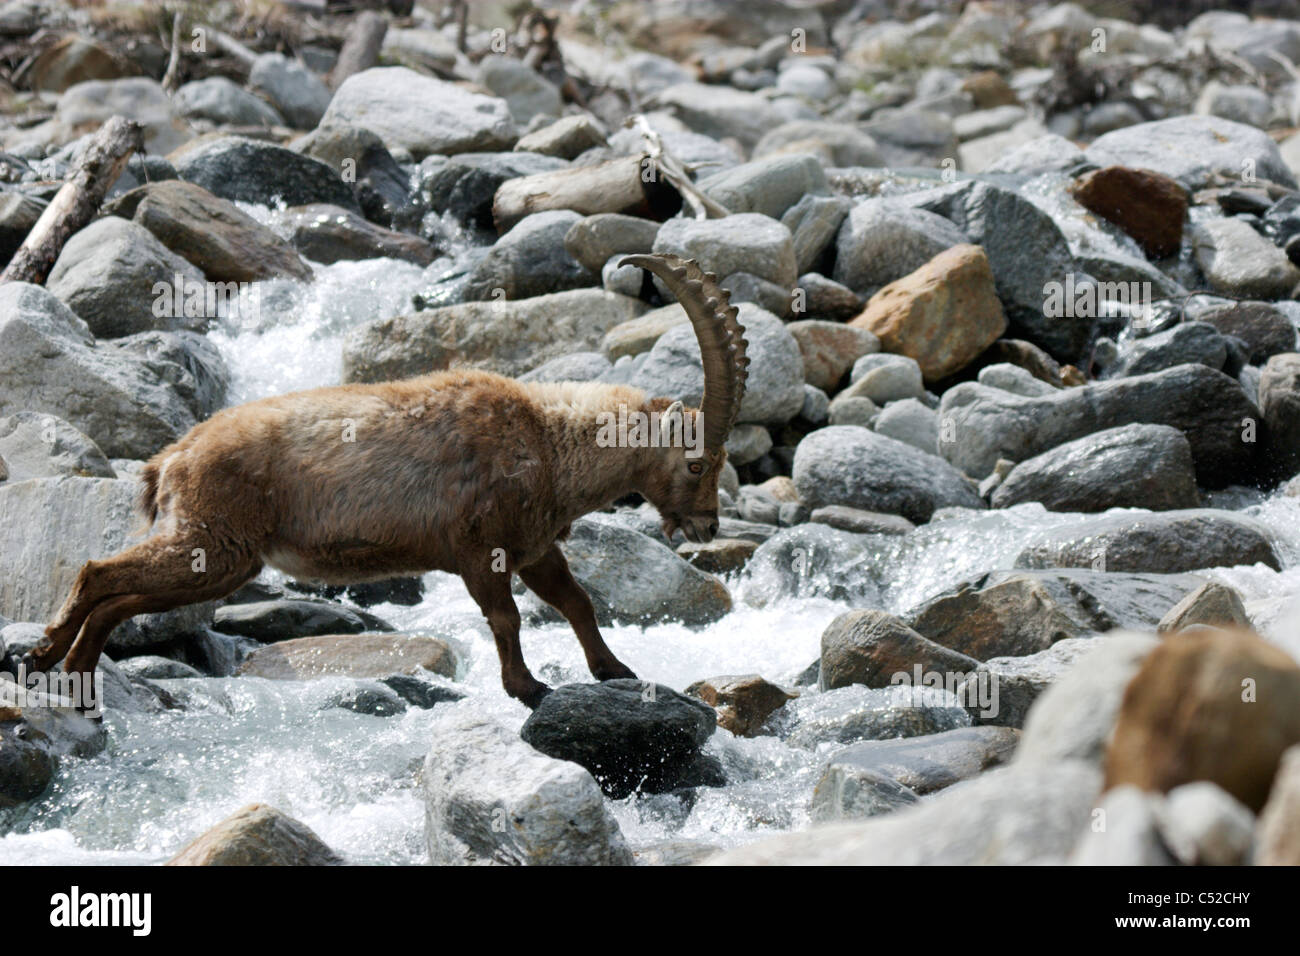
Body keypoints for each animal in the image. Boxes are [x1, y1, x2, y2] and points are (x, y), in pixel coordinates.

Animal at [27, 255, 750, 708]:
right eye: (695, 462)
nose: (706, 526)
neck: (546, 440)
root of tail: (171, 458)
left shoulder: (535, 546)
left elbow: (576, 602)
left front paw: (614, 670)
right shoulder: (477, 548)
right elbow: (506, 615)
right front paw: (528, 689)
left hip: (218, 558)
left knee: (120, 598)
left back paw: (75, 675)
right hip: (215, 543)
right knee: (97, 571)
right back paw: (45, 654)